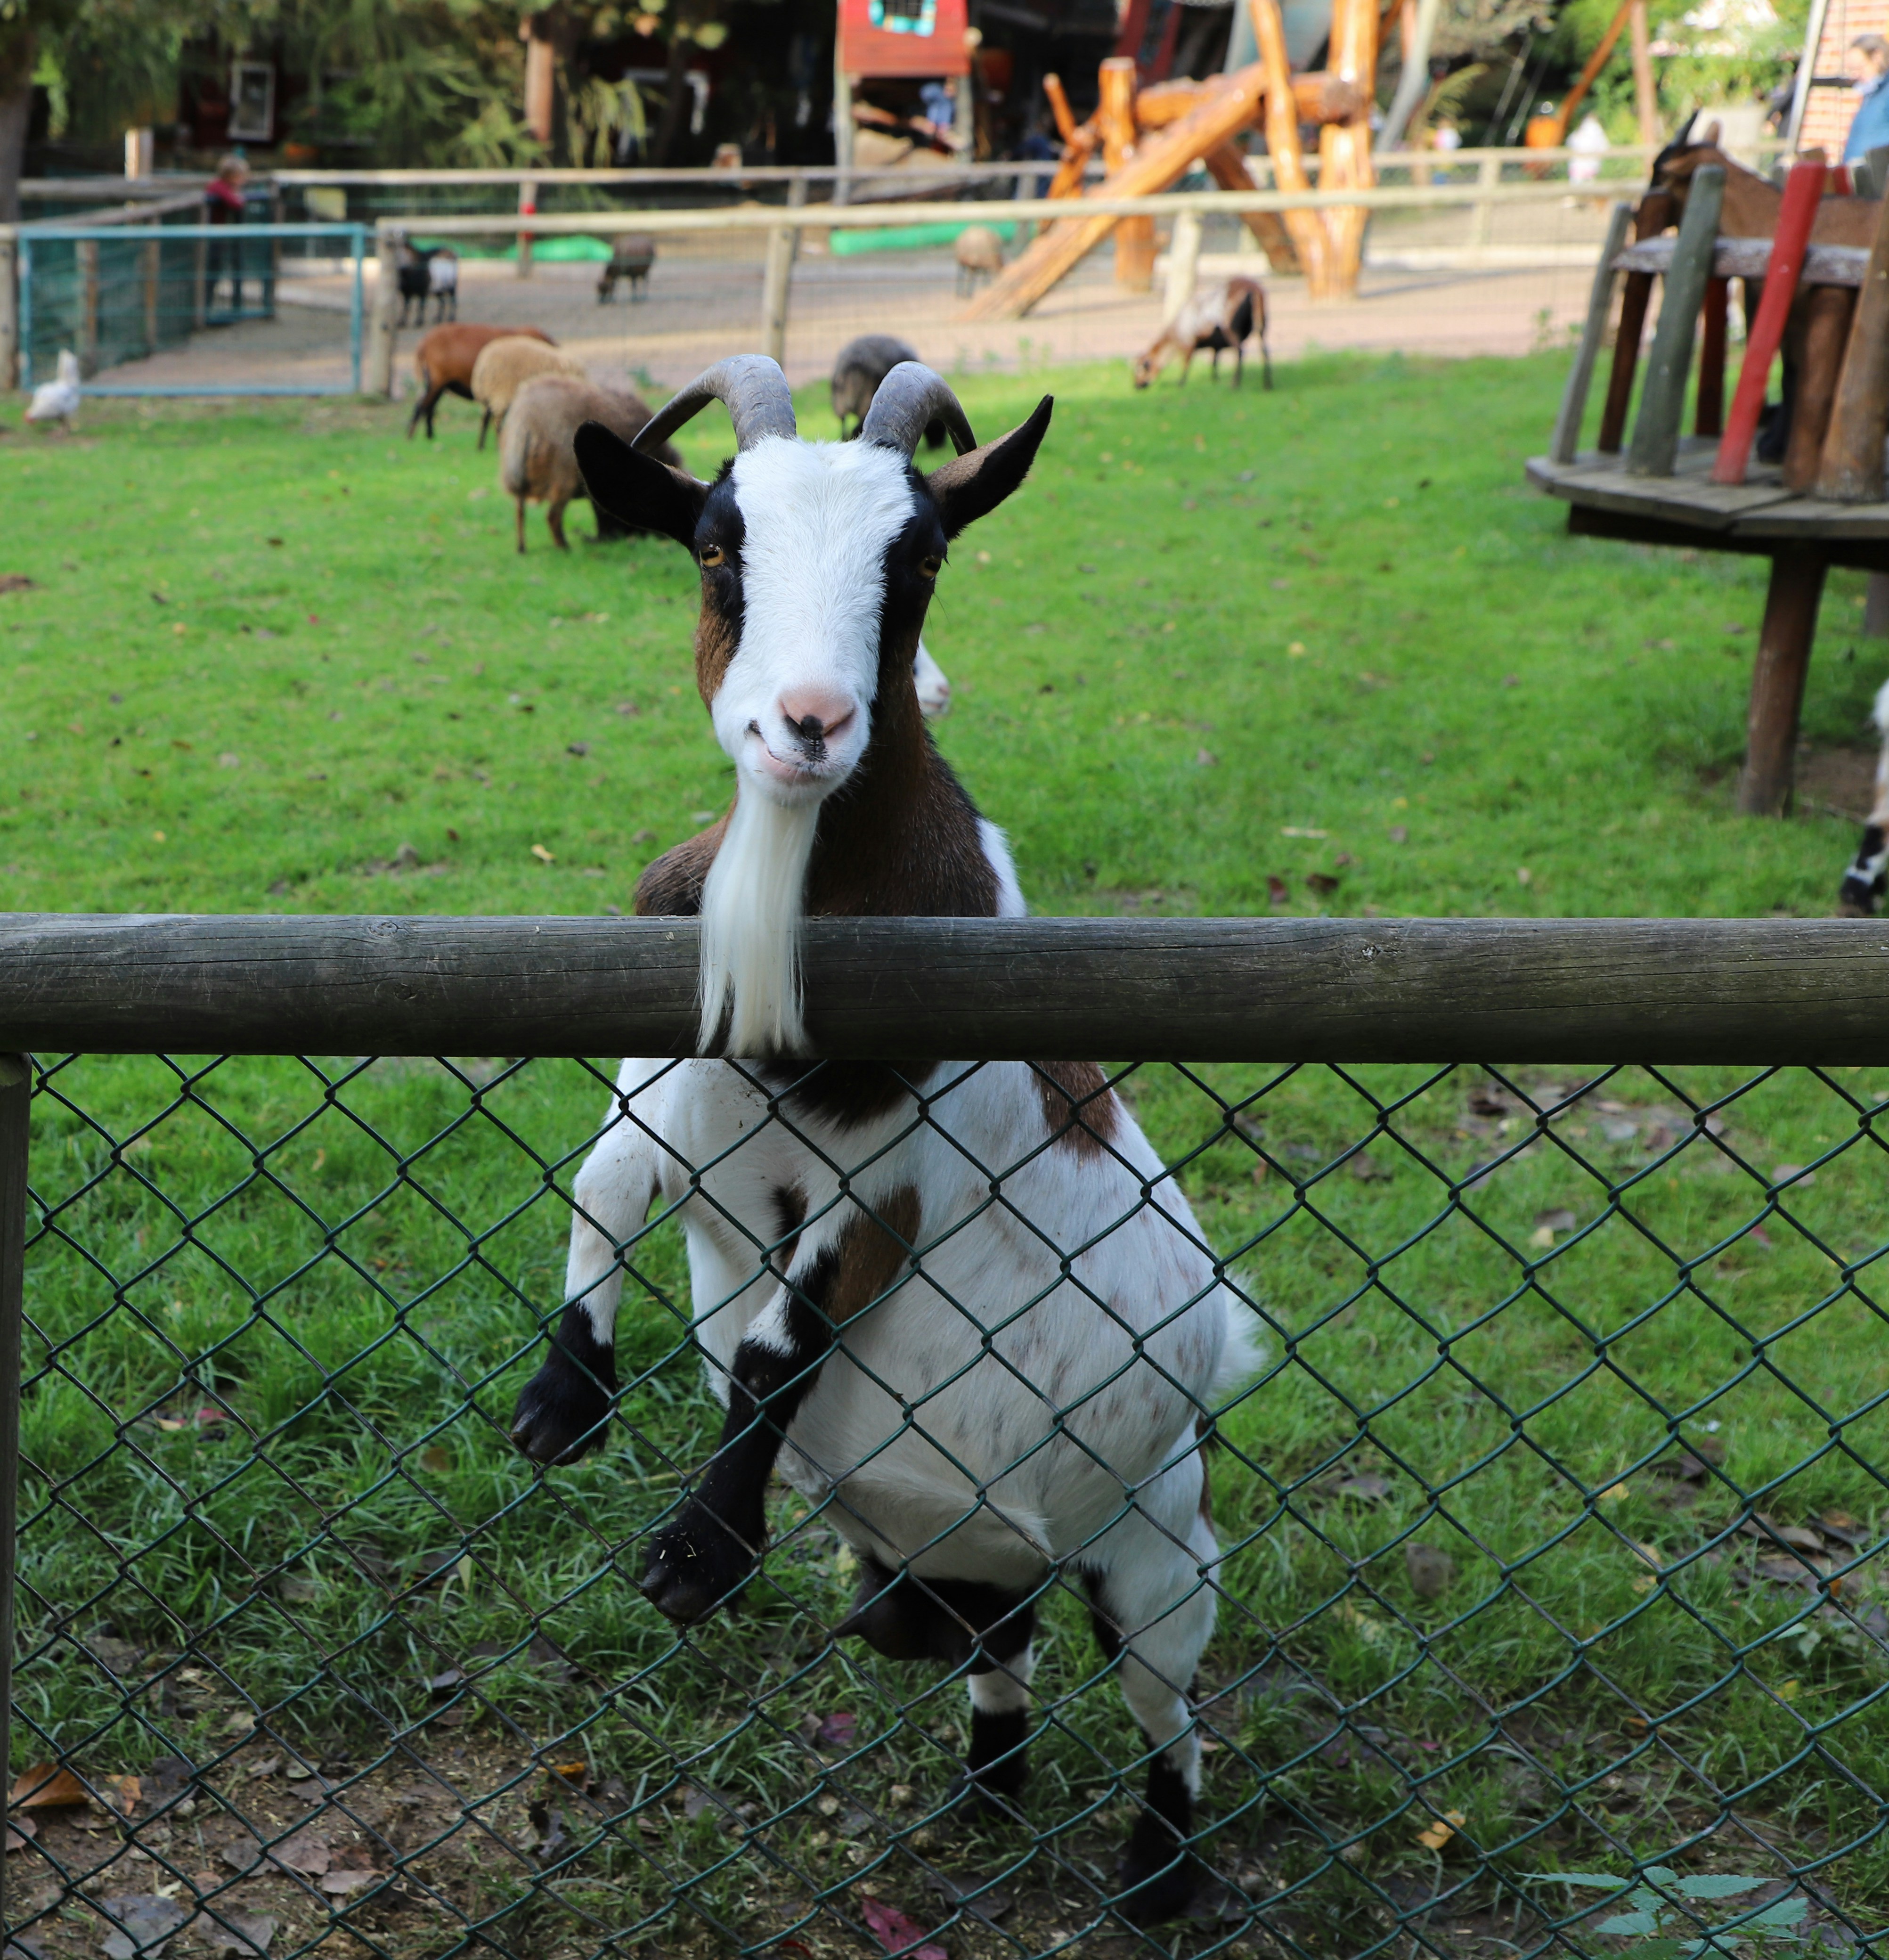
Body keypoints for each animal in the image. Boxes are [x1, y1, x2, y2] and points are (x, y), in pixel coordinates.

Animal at [407, 324, 555, 440]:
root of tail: (424, 345)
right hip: (437, 381)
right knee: (423, 406)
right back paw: (413, 437)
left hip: (439, 384)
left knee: (428, 406)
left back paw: (428, 436)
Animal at [471, 336, 588, 451]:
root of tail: (483, 364)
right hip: (500, 392)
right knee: (497, 421)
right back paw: (497, 445)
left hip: (488, 397)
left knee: (485, 419)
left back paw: (480, 446)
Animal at [499, 373, 678, 551]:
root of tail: (525, 418)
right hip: (563, 479)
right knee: (553, 516)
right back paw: (564, 548)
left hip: (521, 479)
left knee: (520, 510)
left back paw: (522, 548)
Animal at [597, 233, 657, 302]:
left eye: (603, 287)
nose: (600, 301)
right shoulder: (622, 274)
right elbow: (618, 285)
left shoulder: (633, 274)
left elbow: (633, 285)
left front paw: (634, 298)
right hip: (643, 271)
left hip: (645, 270)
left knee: (645, 281)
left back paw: (644, 296)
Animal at [1133, 277, 1271, 391]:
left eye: (1141, 370)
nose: (1136, 386)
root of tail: (1254, 290)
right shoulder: (1216, 346)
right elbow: (1214, 363)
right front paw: (1215, 381)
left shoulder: (1189, 345)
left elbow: (1186, 365)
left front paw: (1181, 384)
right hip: (1262, 324)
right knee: (1265, 350)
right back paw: (1268, 385)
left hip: (1231, 327)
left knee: (1240, 351)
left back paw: (1235, 384)